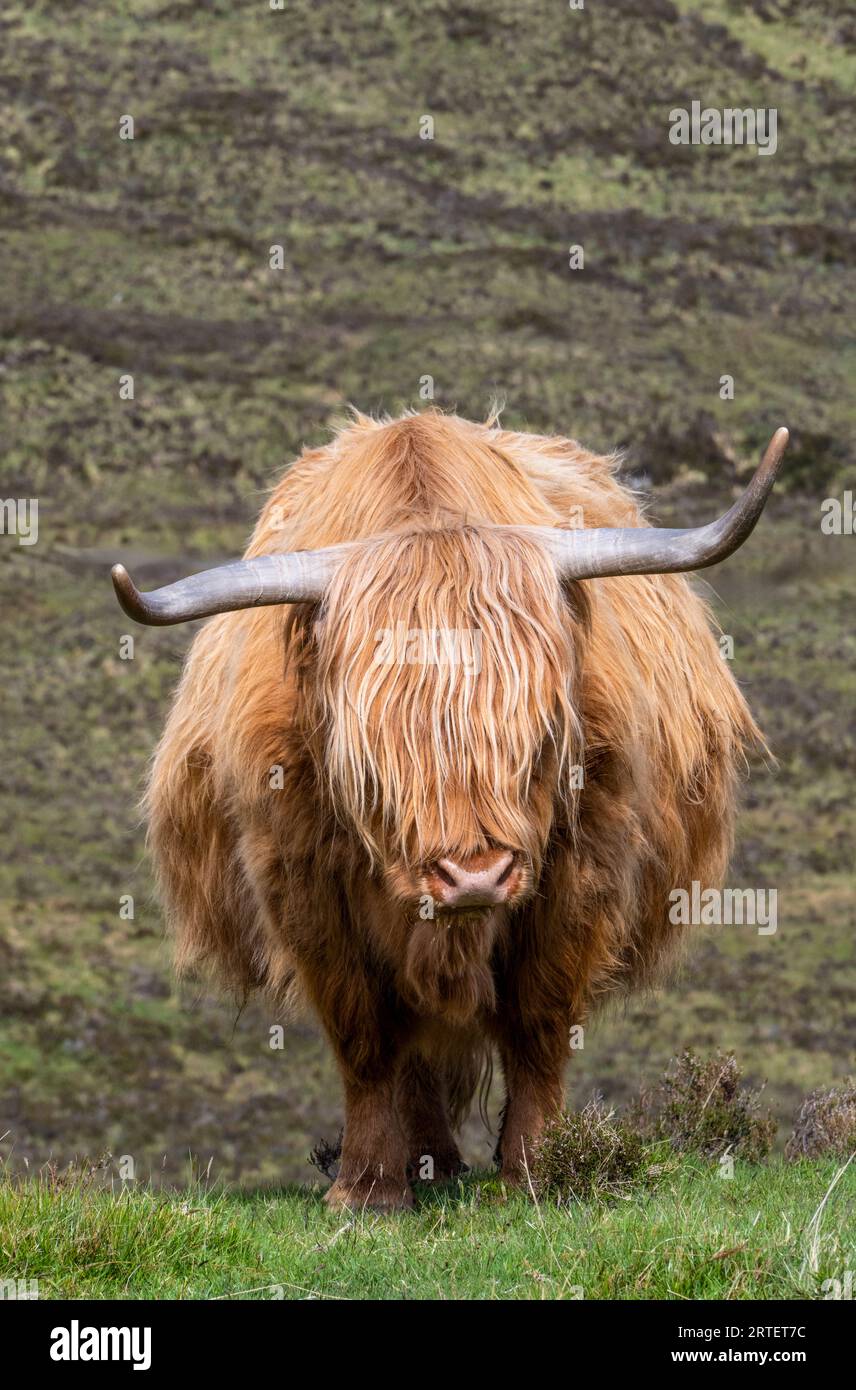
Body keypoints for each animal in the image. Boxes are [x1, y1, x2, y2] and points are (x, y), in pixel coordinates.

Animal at [113, 409, 788, 1209]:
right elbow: (365, 1034)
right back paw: (427, 1159)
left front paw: (536, 1171)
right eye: (374, 758)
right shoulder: (300, 882)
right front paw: (367, 1190)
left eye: (541, 736)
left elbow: (539, 1019)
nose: (474, 878)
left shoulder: (582, 869)